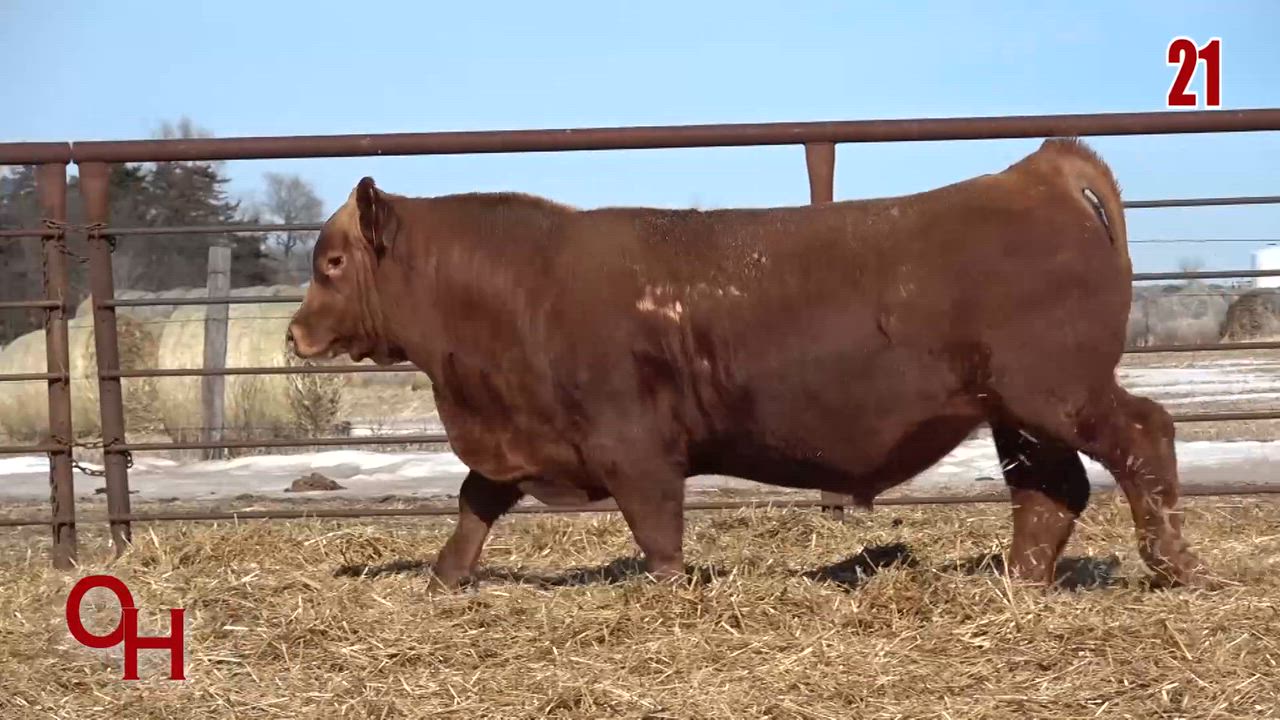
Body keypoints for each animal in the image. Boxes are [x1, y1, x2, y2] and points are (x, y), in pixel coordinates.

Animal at [286, 138, 1207, 591]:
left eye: (330, 262)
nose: (294, 336)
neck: (523, 289)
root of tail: (1036, 171)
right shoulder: (526, 440)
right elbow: (475, 503)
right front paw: (442, 581)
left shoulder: (633, 447)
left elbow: (657, 533)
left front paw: (665, 594)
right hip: (1017, 410)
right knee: (1049, 492)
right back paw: (1019, 584)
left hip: (1059, 390)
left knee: (1143, 436)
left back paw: (1172, 567)